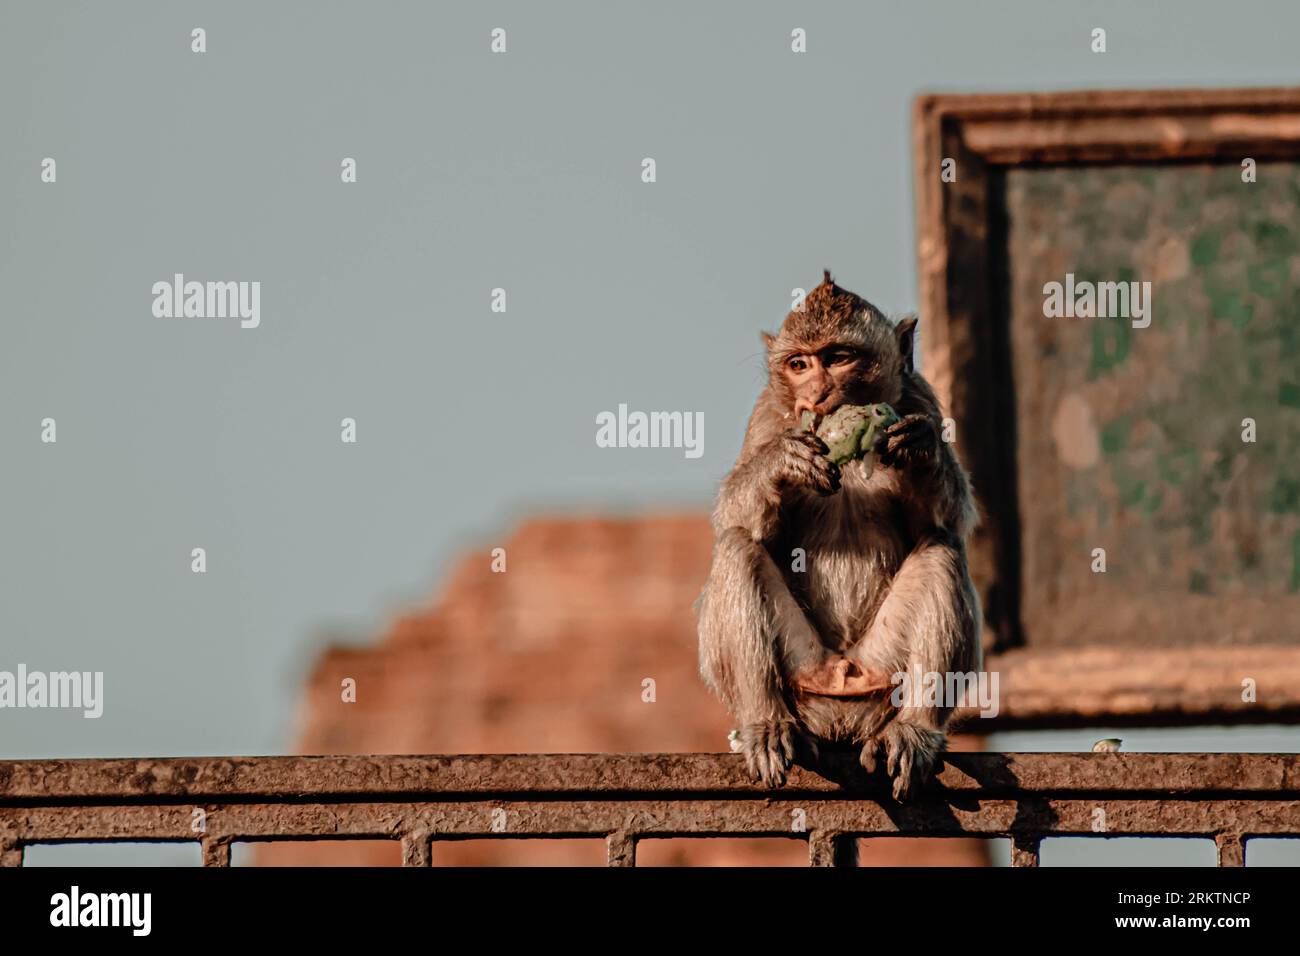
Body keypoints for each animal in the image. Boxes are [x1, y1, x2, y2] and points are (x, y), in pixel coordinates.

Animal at [696, 271, 981, 801]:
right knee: (737, 547)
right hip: (802, 673)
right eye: (799, 364)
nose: (818, 395)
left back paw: (915, 729)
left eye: (839, 358)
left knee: (942, 551)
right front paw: (782, 462)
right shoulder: (769, 414)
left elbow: (943, 520)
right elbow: (739, 518)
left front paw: (921, 448)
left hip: (880, 672)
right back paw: (765, 722)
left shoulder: (921, 400)